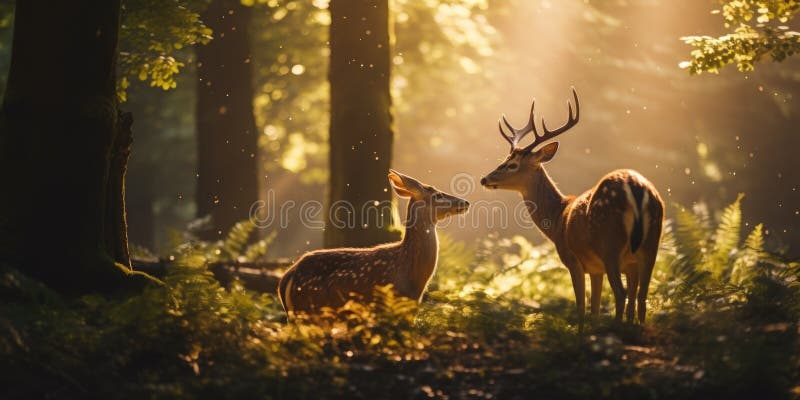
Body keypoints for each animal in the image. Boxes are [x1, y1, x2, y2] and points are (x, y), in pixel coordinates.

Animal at [480, 88, 664, 325]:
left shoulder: (573, 259)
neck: (558, 217)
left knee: (621, 293)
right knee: (641, 297)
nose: (485, 179)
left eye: (512, 165)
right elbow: (595, 309)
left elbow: (581, 309)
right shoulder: (597, 269)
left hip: (610, 243)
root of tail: (636, 189)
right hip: (650, 244)